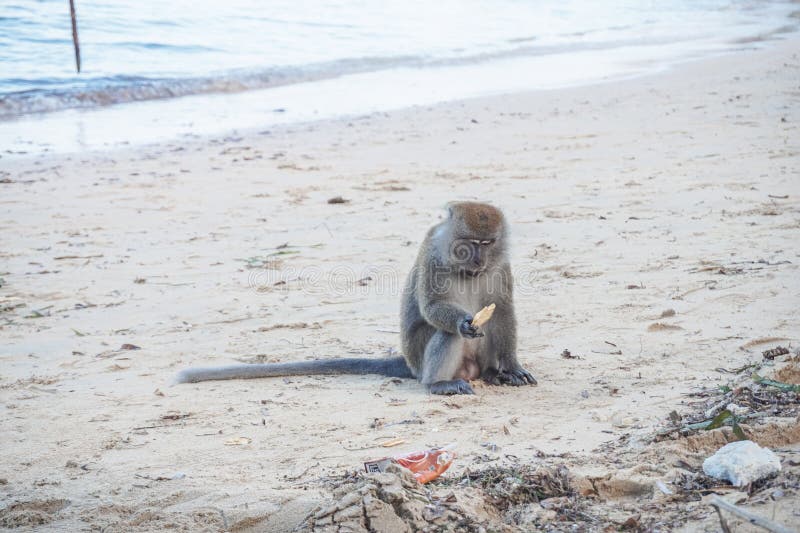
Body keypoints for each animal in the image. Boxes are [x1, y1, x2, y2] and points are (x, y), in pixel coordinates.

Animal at [173, 202, 536, 395]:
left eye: (488, 243)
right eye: (470, 242)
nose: (478, 260)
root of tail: (411, 366)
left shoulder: (500, 266)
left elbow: (503, 312)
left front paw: (512, 366)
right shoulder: (433, 256)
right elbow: (434, 309)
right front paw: (463, 322)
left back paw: (493, 373)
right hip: (422, 361)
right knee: (447, 335)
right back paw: (438, 384)